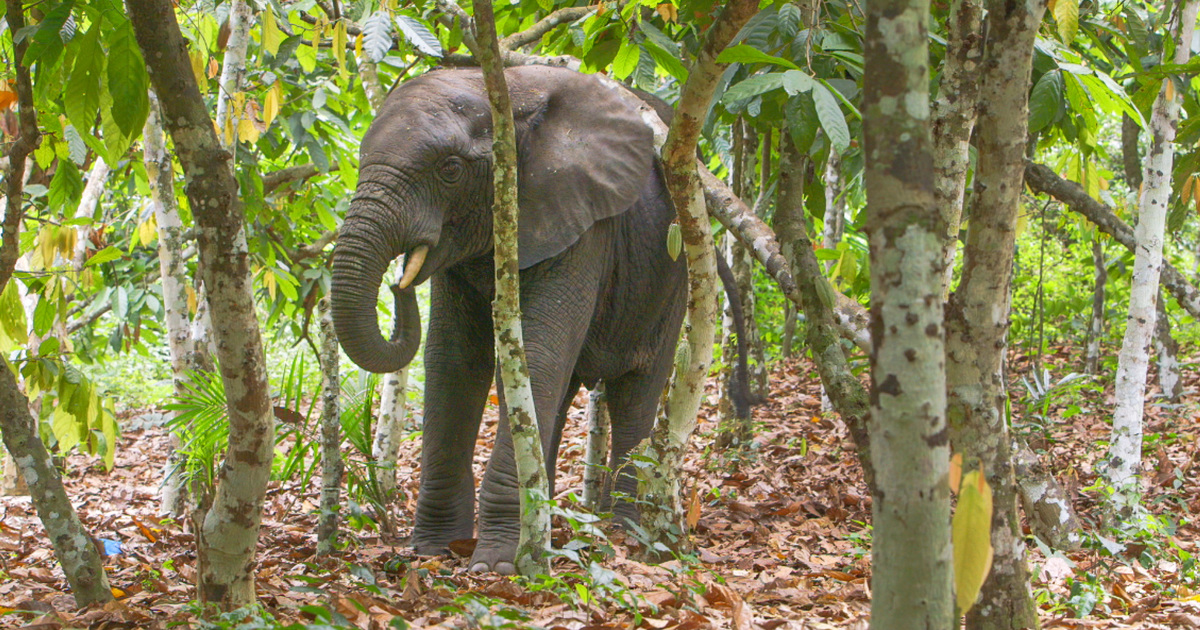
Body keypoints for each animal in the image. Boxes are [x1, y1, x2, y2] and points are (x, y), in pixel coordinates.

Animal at [331, 65, 755, 573]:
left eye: (449, 170)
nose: (398, 285)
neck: (509, 95)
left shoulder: (582, 221)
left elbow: (535, 355)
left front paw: (496, 565)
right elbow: (455, 360)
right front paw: (433, 551)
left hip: (673, 273)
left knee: (636, 390)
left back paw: (626, 533)